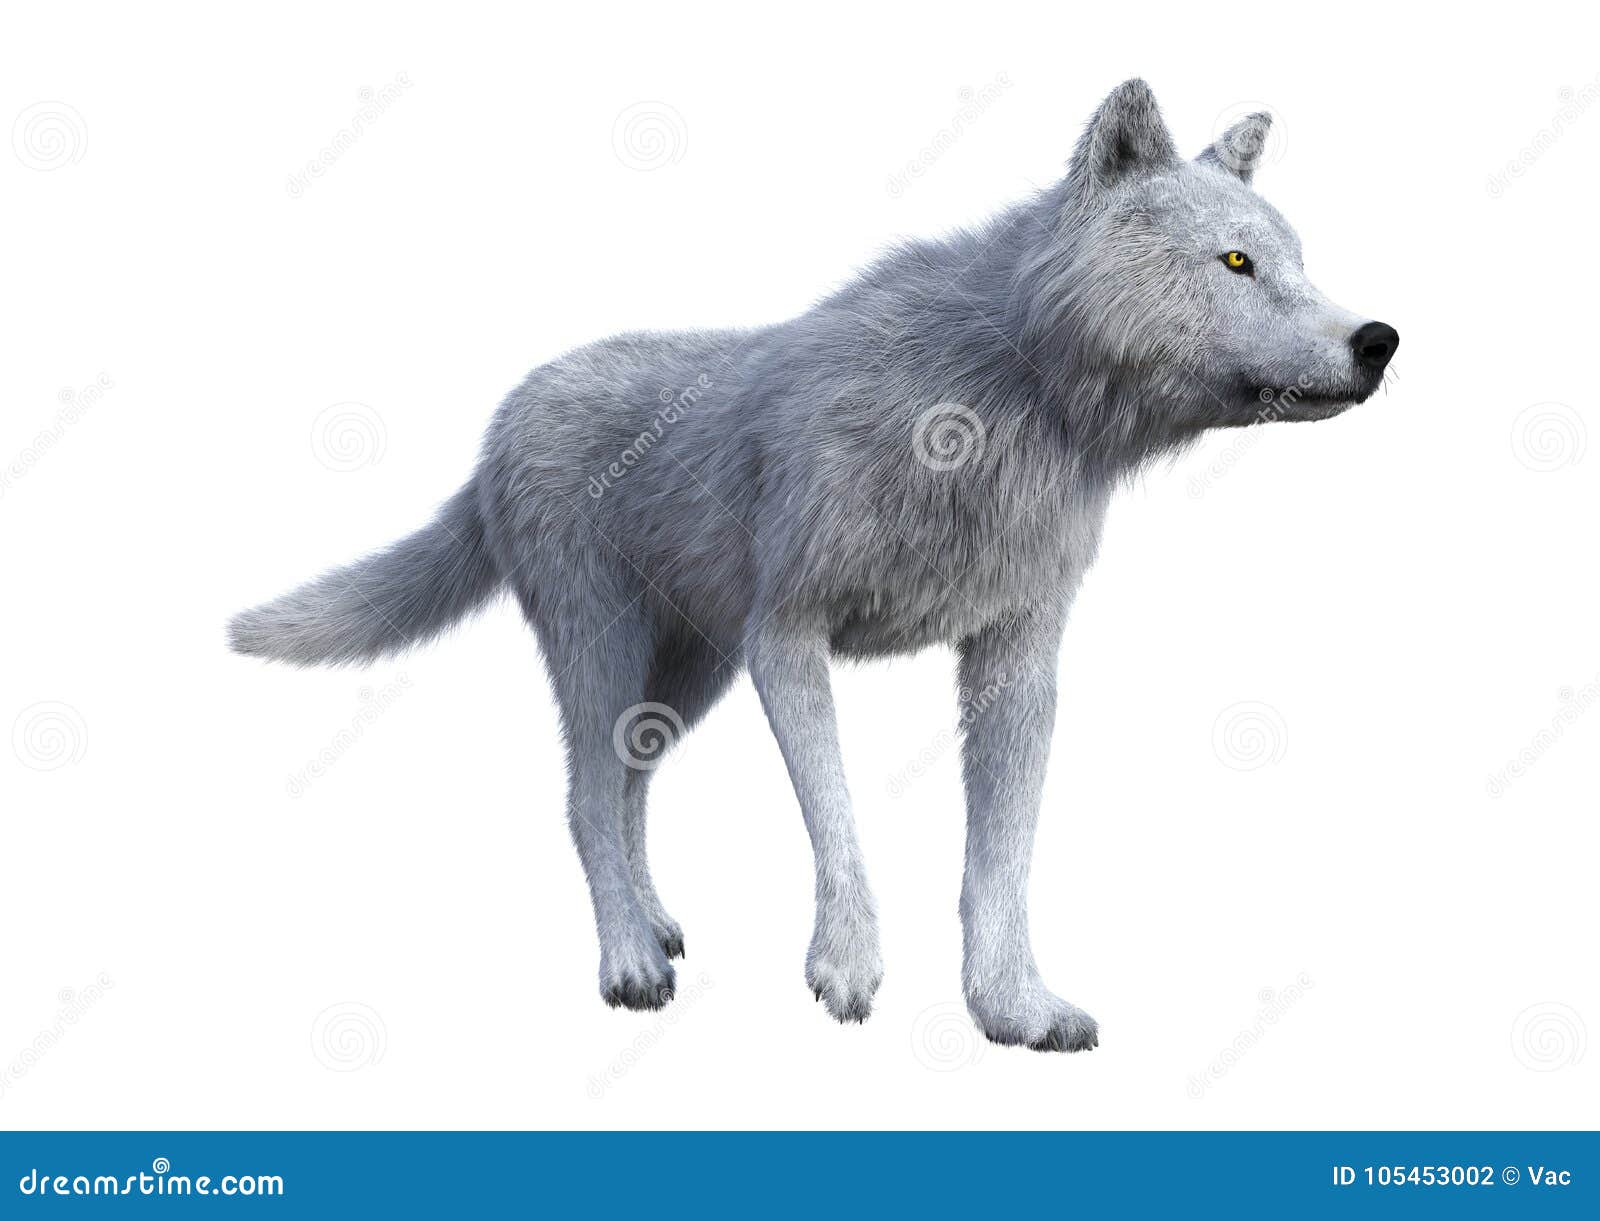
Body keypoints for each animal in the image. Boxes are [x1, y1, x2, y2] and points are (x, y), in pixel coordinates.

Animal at [231, 80, 1397, 1052]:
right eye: (1236, 264)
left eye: (1297, 261)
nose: (1378, 340)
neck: (991, 403)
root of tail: (501, 417)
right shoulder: (788, 639)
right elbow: (838, 822)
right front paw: (846, 970)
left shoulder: (1014, 659)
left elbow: (1001, 863)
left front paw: (1013, 1009)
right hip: (610, 653)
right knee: (583, 800)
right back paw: (628, 964)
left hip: (684, 678)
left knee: (627, 790)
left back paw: (657, 923)